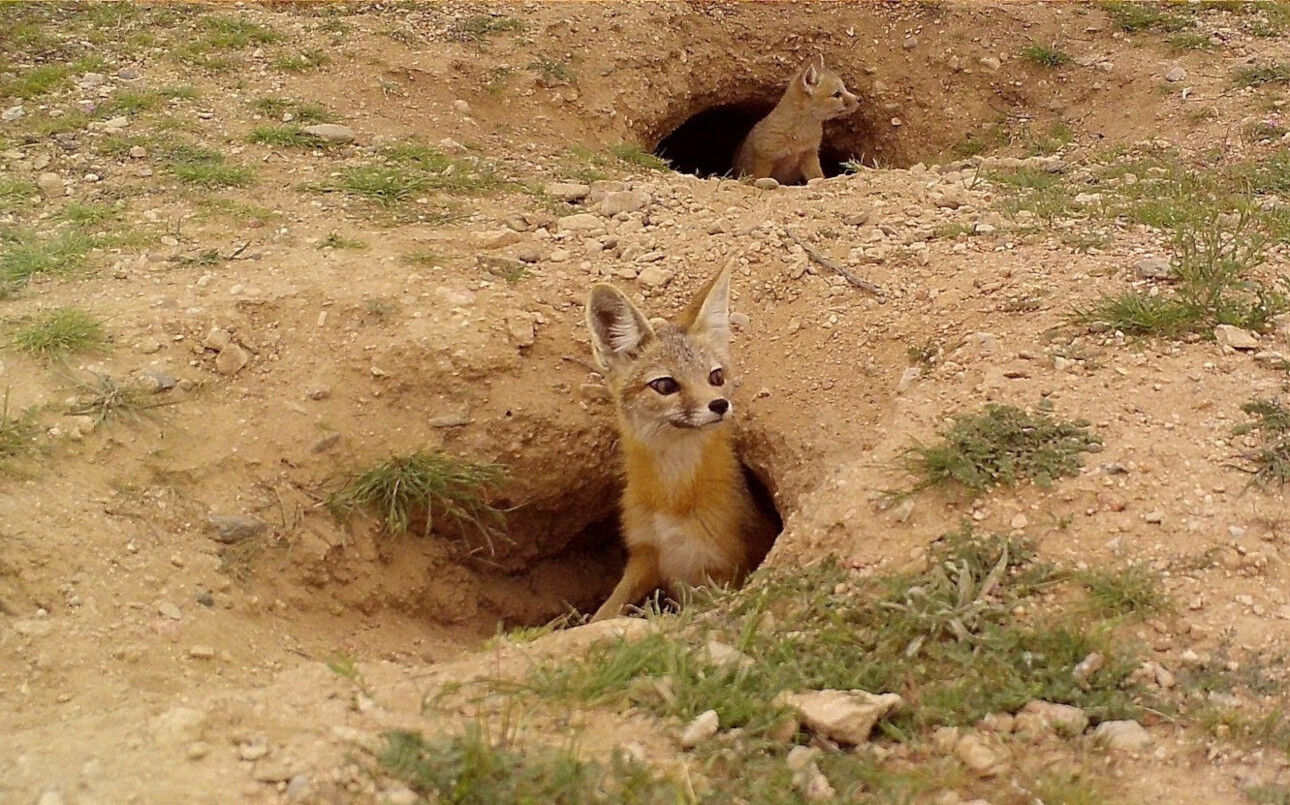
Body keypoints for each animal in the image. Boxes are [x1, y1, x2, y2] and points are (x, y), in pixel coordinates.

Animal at [585, 264, 776, 622]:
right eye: (664, 385)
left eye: (716, 376)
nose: (719, 404)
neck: (672, 497)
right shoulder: (646, 556)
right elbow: (606, 611)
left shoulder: (723, 569)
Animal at [733, 55, 860, 185]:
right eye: (837, 94)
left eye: (844, 89)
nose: (859, 99)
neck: (800, 137)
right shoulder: (765, 159)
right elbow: (759, 178)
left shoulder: (809, 154)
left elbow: (818, 177)